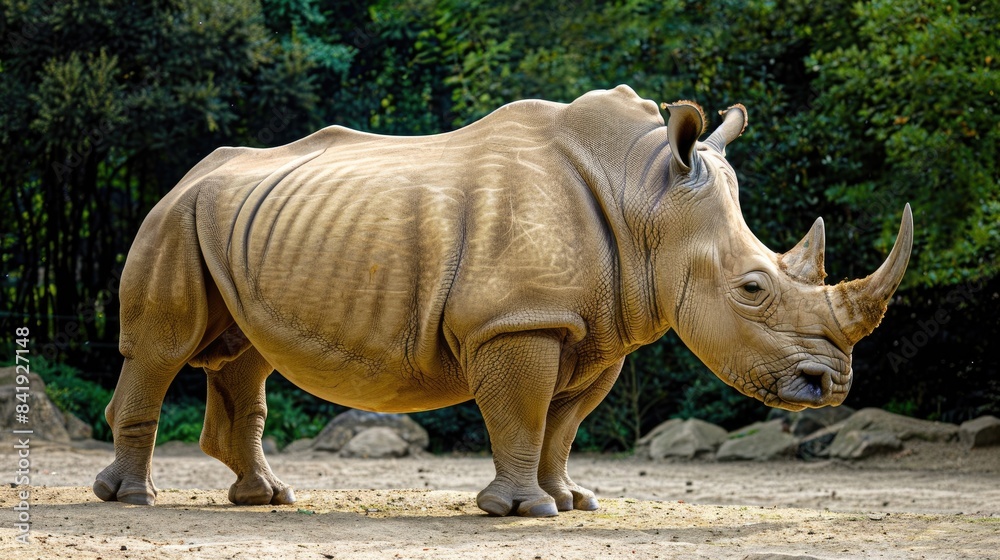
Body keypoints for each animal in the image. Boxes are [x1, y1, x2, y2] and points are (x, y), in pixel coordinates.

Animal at [94, 85, 912, 517]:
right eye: (752, 289)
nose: (832, 385)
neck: (647, 199)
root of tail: (188, 173)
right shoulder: (517, 320)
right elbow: (521, 411)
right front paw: (520, 511)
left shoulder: (594, 328)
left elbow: (563, 424)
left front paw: (570, 500)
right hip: (173, 217)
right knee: (162, 350)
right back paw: (133, 499)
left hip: (232, 222)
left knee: (244, 358)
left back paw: (266, 497)